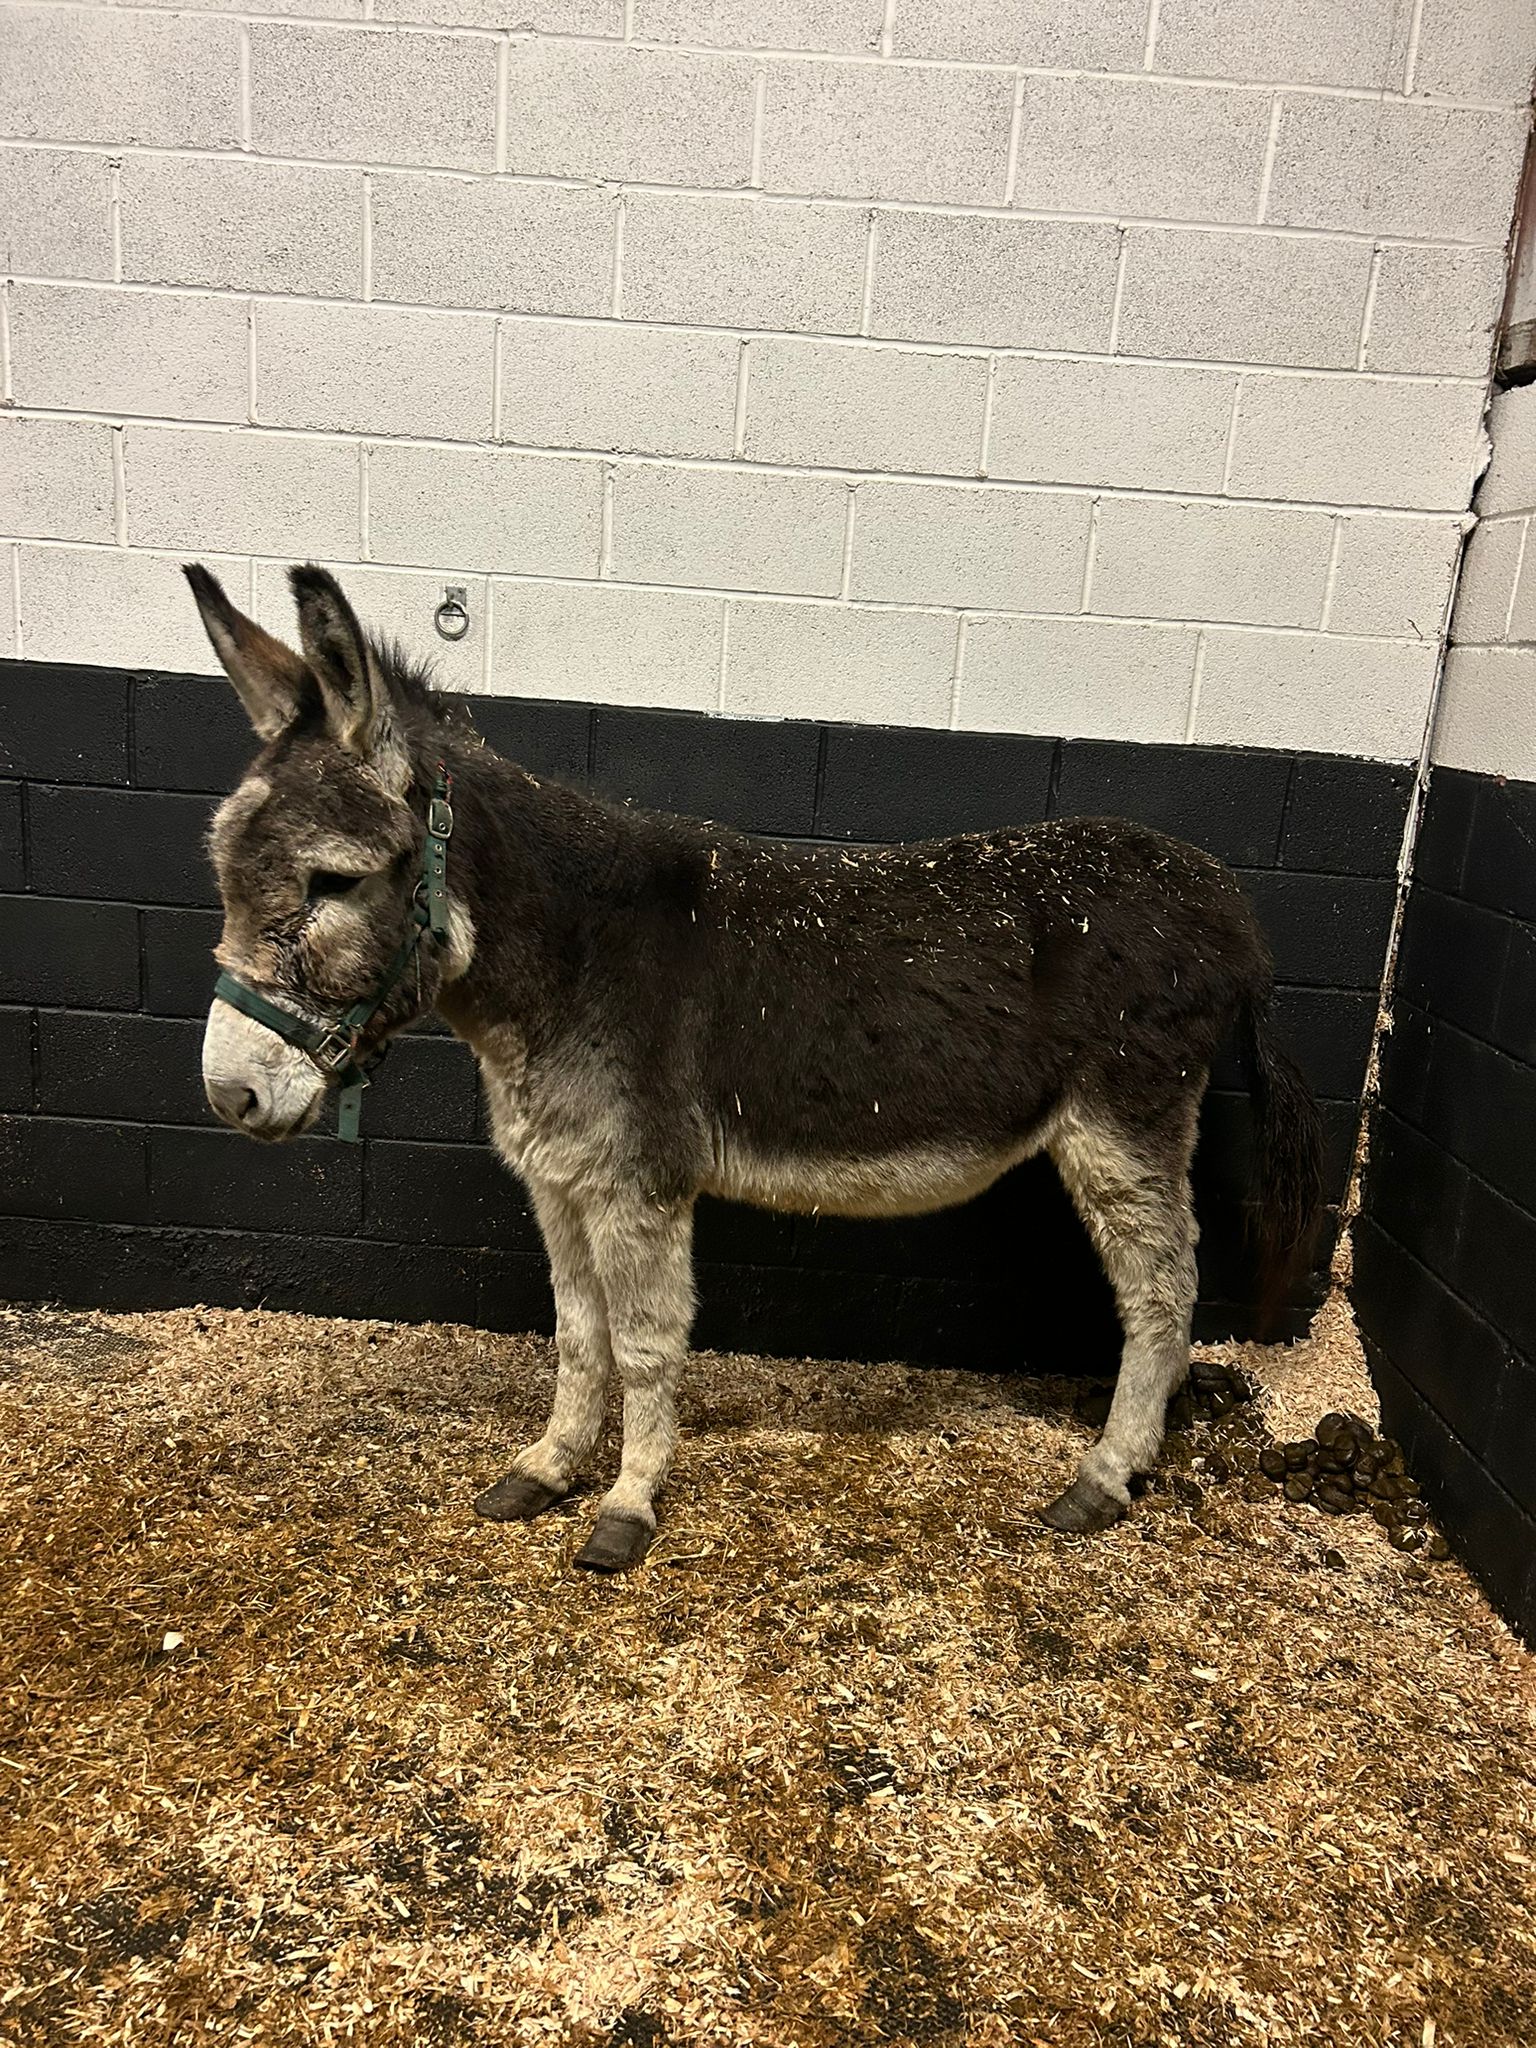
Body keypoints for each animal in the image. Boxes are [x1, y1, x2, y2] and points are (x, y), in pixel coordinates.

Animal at [189, 562, 1323, 1572]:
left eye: (330, 882)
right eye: (223, 874)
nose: (227, 1094)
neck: (568, 959)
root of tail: (1226, 901)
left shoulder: (638, 1183)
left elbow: (646, 1342)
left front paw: (626, 1507)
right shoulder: (560, 1175)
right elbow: (576, 1332)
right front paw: (546, 1470)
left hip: (1124, 1121)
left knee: (1164, 1291)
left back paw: (1105, 1477)